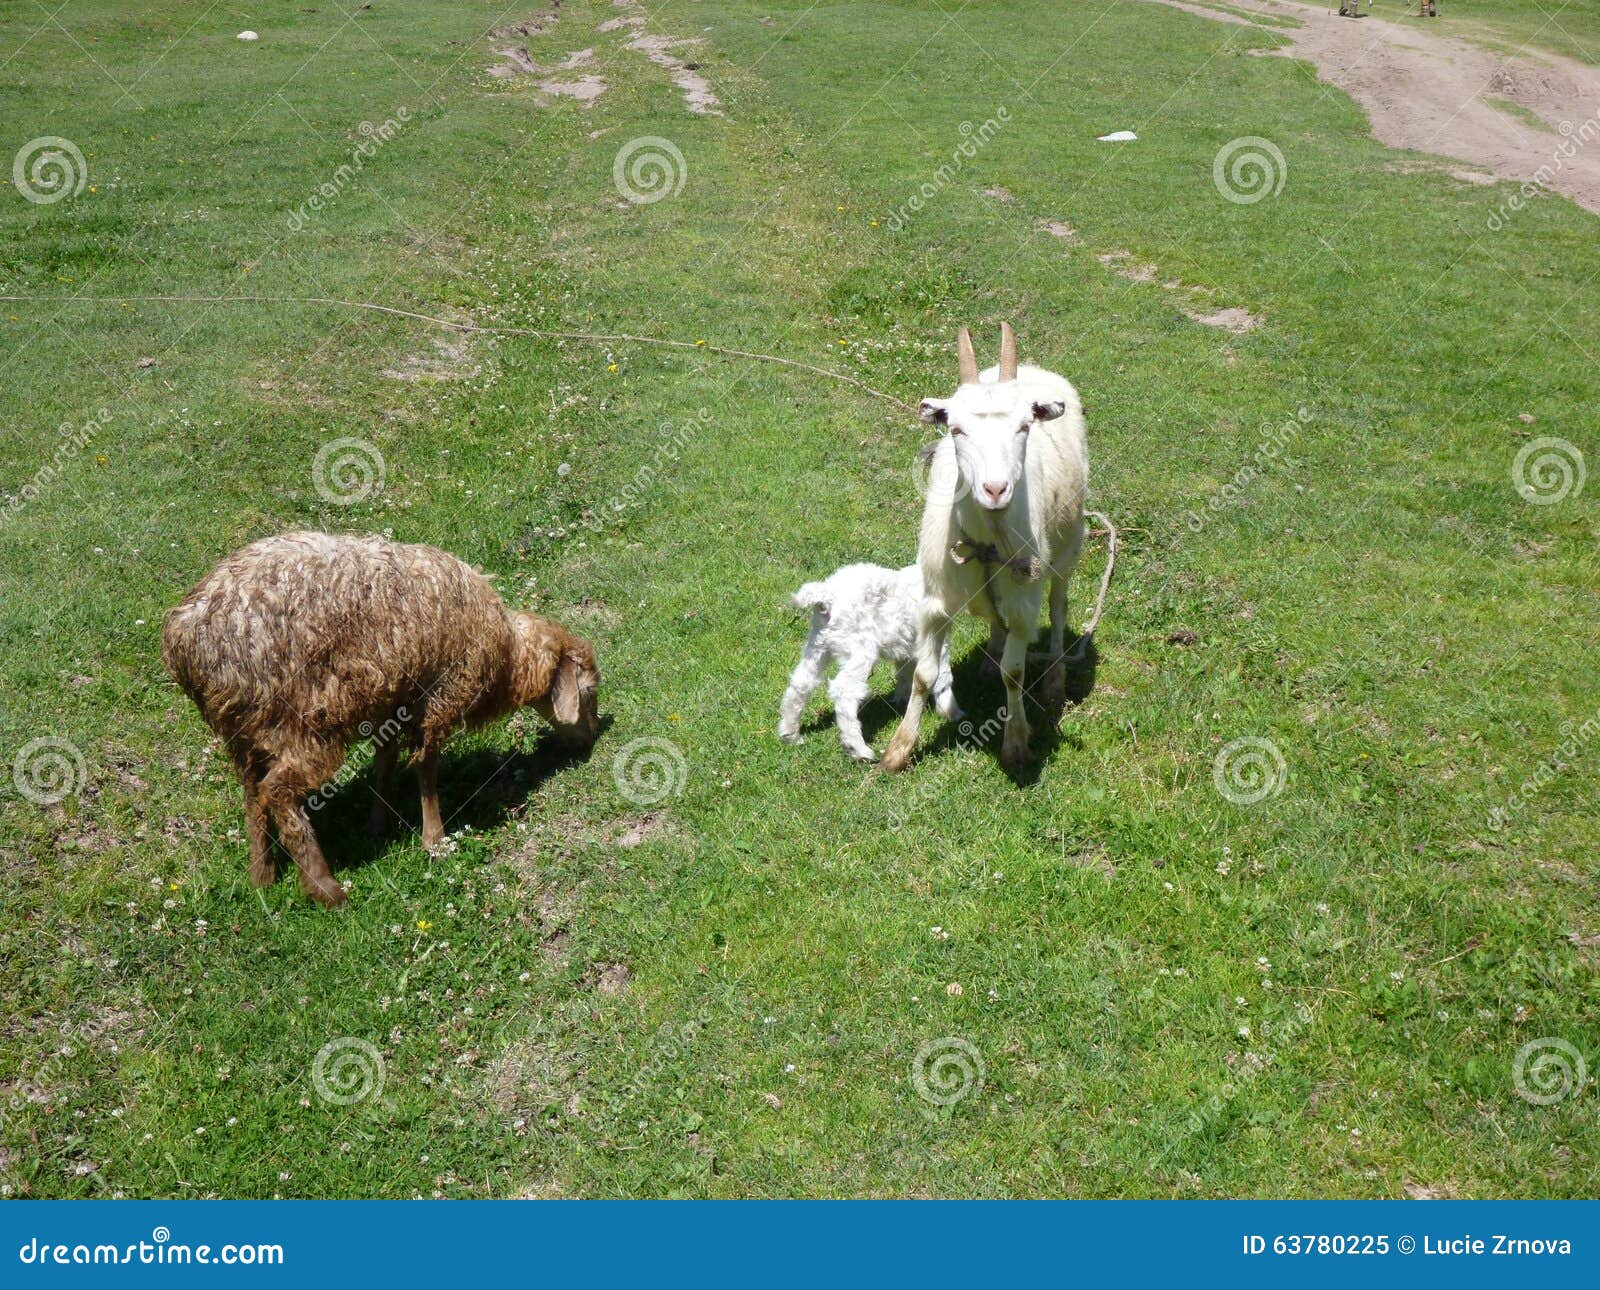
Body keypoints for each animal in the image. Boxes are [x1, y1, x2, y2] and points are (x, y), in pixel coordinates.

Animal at [161, 531, 600, 906]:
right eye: (590, 690)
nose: (592, 740)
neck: (506, 655)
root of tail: (183, 637)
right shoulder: (438, 698)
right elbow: (427, 769)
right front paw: (435, 839)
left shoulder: (393, 702)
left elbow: (385, 762)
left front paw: (377, 822)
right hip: (298, 723)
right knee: (278, 791)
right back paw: (326, 889)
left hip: (240, 726)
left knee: (253, 794)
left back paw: (262, 874)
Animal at [778, 562, 959, 760]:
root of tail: (826, 596)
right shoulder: (937, 640)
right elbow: (942, 676)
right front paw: (952, 713)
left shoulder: (907, 647)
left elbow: (905, 673)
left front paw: (902, 701)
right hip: (859, 648)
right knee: (844, 691)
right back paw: (859, 749)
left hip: (818, 644)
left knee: (801, 683)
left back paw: (790, 734)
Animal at [880, 323, 1088, 774]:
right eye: (956, 429)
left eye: (1025, 426)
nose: (995, 489)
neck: (987, 542)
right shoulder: (934, 601)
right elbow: (924, 673)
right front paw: (899, 749)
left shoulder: (1025, 603)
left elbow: (1015, 673)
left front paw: (1016, 744)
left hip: (1069, 545)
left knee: (1058, 605)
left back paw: (1054, 678)